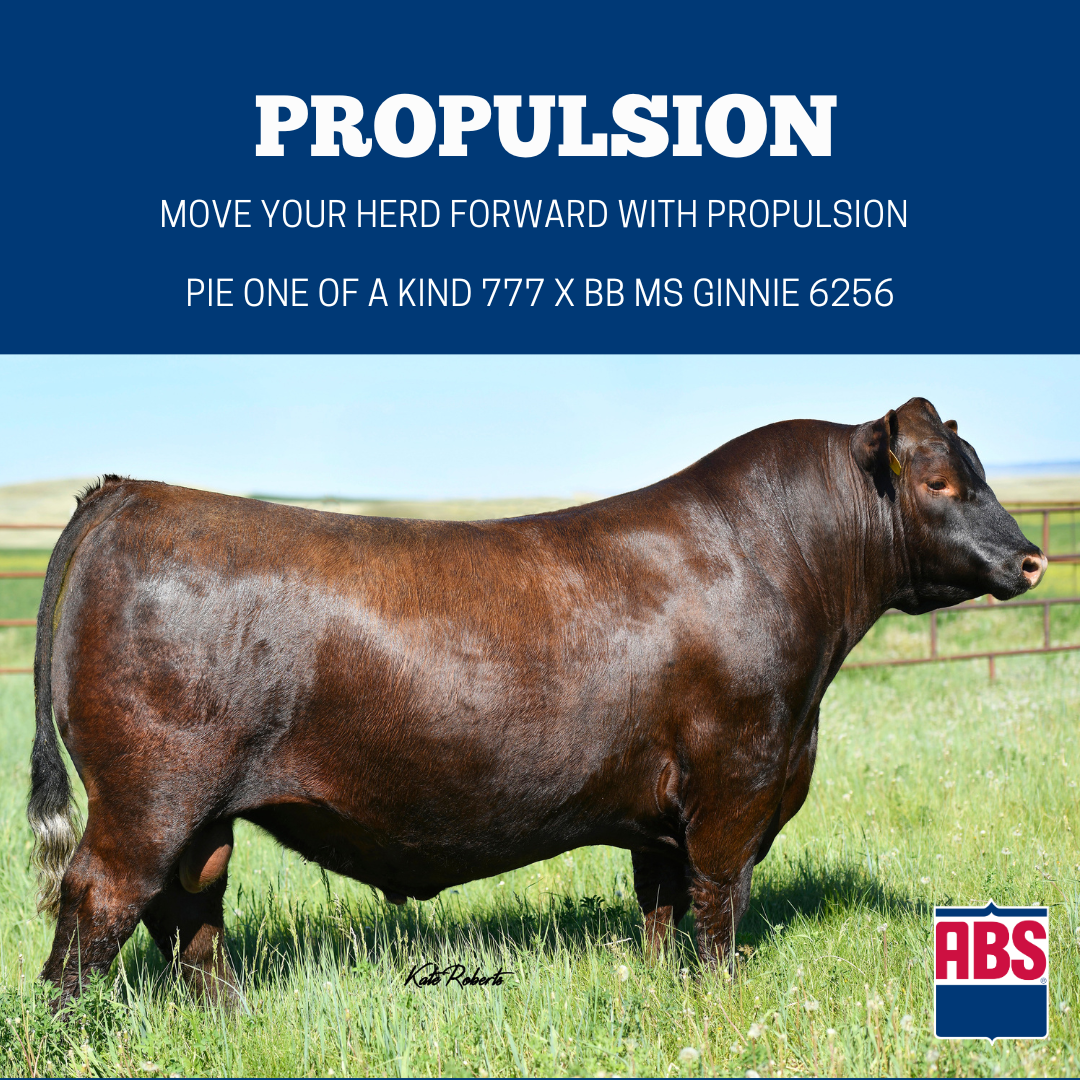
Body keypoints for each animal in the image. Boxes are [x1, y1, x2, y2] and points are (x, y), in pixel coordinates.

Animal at [28, 397, 1046, 1005]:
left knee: (188, 906)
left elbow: (661, 906)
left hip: (196, 811)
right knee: (100, 899)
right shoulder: (737, 783)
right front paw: (718, 997)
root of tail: (130, 492)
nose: (1033, 558)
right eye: (939, 481)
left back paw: (231, 1015)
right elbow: (720, 903)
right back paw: (71, 1030)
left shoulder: (662, 814)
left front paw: (661, 986)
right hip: (149, 792)